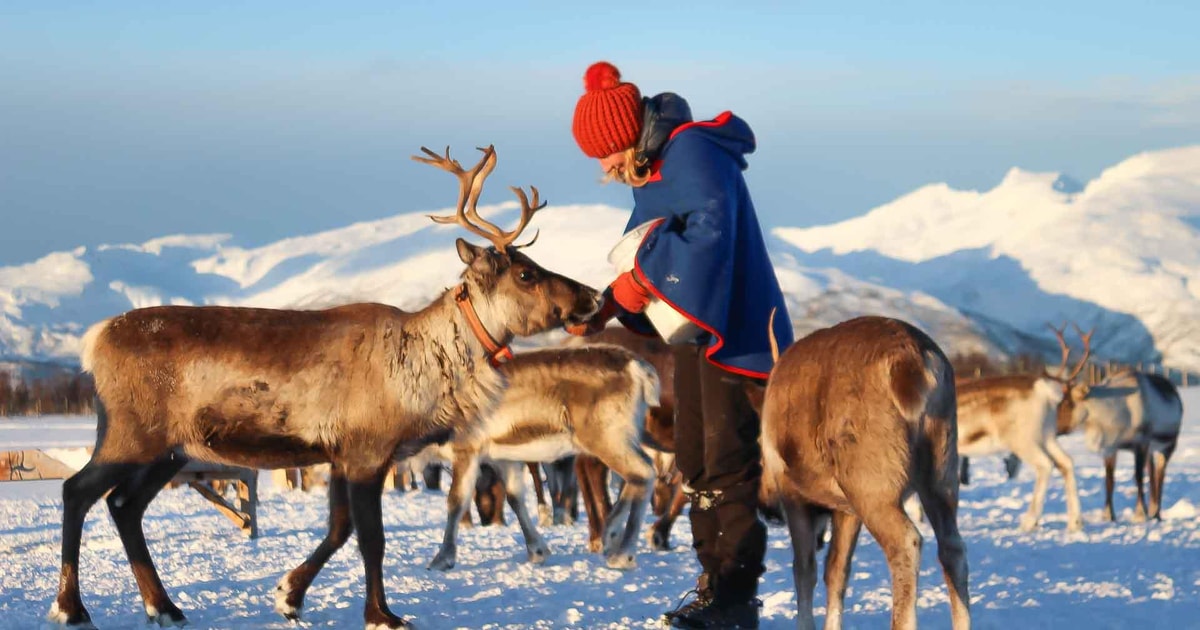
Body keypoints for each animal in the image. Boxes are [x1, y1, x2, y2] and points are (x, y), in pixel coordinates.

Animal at [48, 145, 602, 630]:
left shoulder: (339, 454)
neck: (426, 361)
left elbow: (339, 529)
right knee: (78, 490)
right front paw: (382, 615)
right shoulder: (368, 450)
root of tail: (94, 341)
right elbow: (370, 538)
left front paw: (288, 596)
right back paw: (72, 608)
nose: (593, 296)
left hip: (171, 450)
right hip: (131, 434)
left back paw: (164, 607)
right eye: (527, 274)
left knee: (124, 506)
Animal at [755, 314, 970, 630]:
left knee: (907, 543)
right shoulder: (846, 508)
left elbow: (804, 569)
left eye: (758, 445)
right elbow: (837, 571)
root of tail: (915, 363)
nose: (766, 507)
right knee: (953, 548)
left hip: (872, 485)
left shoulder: (794, 493)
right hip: (940, 469)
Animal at [1054, 327, 1184, 522]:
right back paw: (1153, 511)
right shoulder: (1110, 447)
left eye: (1068, 402)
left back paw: (1156, 513)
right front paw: (1108, 515)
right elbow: (1109, 480)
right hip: (1151, 450)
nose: (1053, 428)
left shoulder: (1141, 443)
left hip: (1168, 444)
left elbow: (1137, 477)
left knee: (1161, 474)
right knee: (1152, 472)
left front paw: (1140, 514)